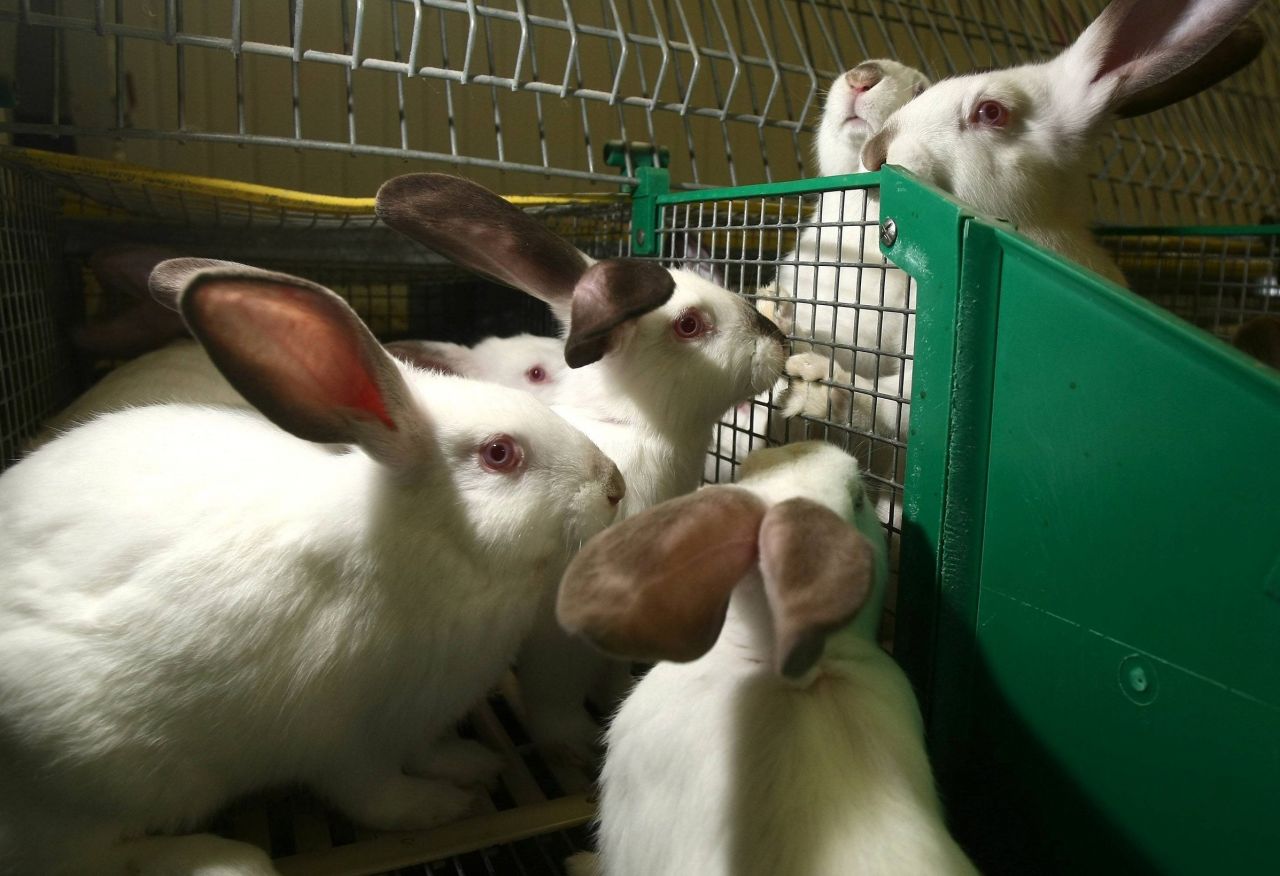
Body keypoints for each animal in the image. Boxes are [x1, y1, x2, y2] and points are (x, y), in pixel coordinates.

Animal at [0, 259, 625, 876]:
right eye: (500, 454)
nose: (614, 485)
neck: (433, 541)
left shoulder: (419, 719)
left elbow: (429, 752)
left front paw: (472, 762)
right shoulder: (345, 739)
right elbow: (374, 796)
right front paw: (437, 805)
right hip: (99, 776)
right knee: (82, 856)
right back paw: (230, 858)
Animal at [375, 172, 790, 762]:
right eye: (689, 324)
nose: (782, 341)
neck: (634, 428)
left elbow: (612, 675)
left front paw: (615, 703)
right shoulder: (560, 639)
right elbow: (556, 698)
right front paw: (576, 743)